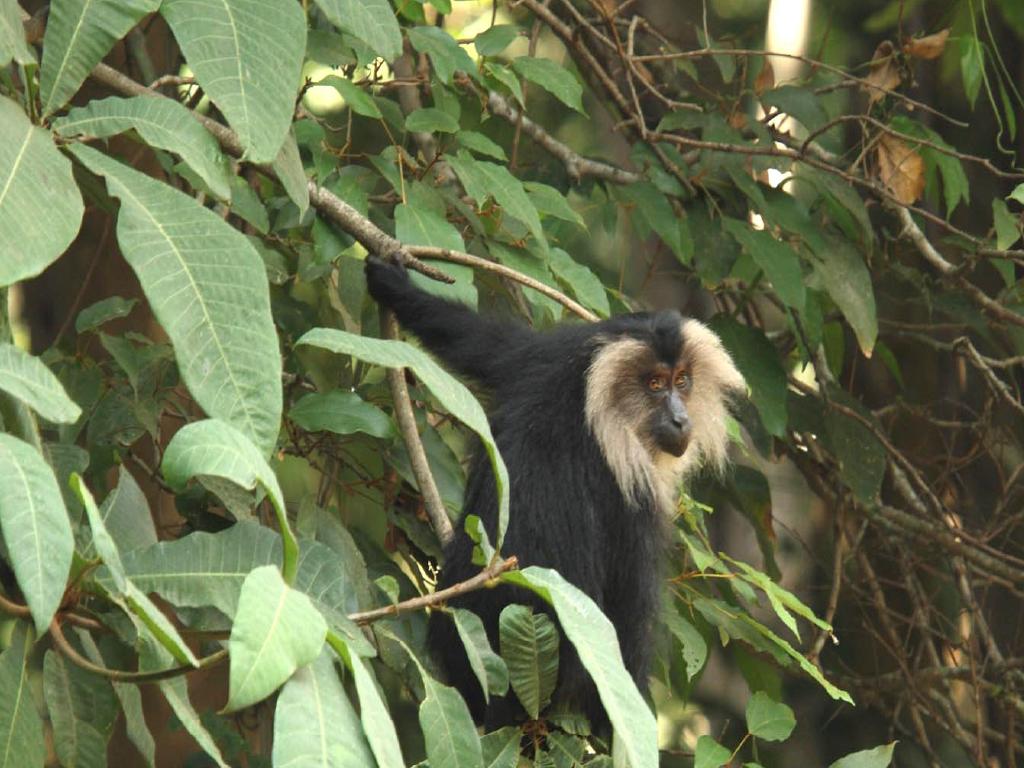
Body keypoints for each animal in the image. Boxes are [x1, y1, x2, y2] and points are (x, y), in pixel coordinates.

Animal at [364, 256, 745, 728]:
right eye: (656, 384)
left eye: (683, 380)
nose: (679, 418)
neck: (588, 407)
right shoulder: (627, 491)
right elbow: (628, 618)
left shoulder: (545, 360)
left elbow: (480, 340)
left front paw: (392, 283)